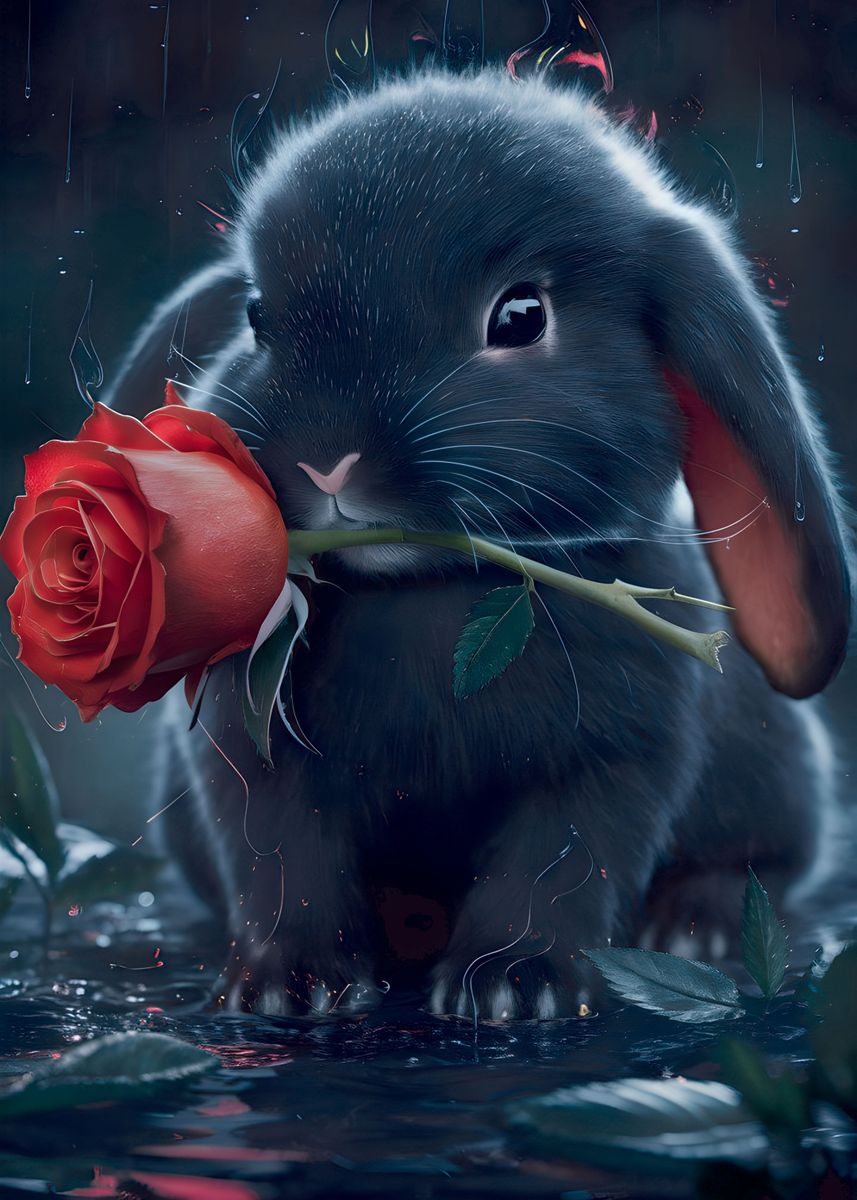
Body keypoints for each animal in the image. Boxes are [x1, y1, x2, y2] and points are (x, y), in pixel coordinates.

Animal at [104, 72, 851, 1020]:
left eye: (522, 317)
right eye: (256, 316)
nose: (327, 462)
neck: (426, 591)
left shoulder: (612, 759)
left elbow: (561, 864)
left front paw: (514, 986)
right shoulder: (253, 751)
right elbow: (282, 861)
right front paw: (287, 985)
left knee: (755, 866)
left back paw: (695, 926)